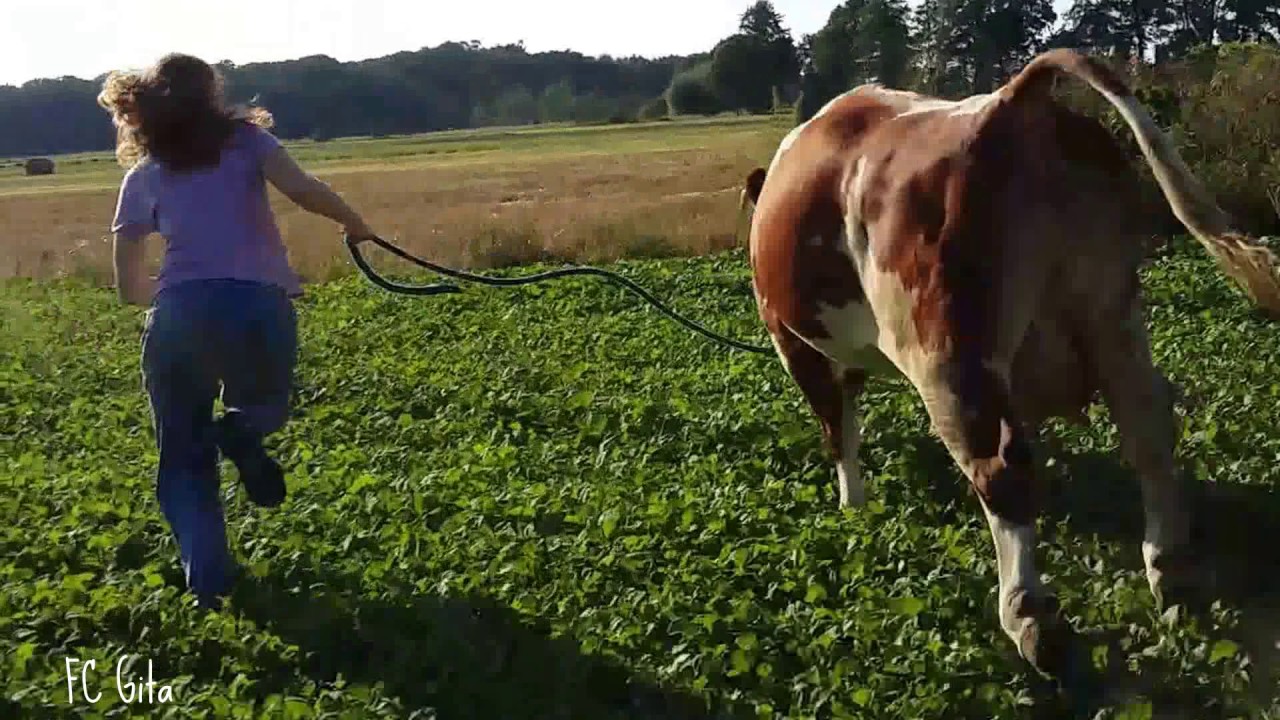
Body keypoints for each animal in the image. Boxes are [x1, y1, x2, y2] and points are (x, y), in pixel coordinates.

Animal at [738, 48, 1279, 679]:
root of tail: (1013, 99)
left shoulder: (796, 344)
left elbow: (837, 429)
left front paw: (853, 506)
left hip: (948, 352)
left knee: (1001, 465)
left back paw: (1031, 621)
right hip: (1111, 317)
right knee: (1147, 428)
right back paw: (1169, 568)